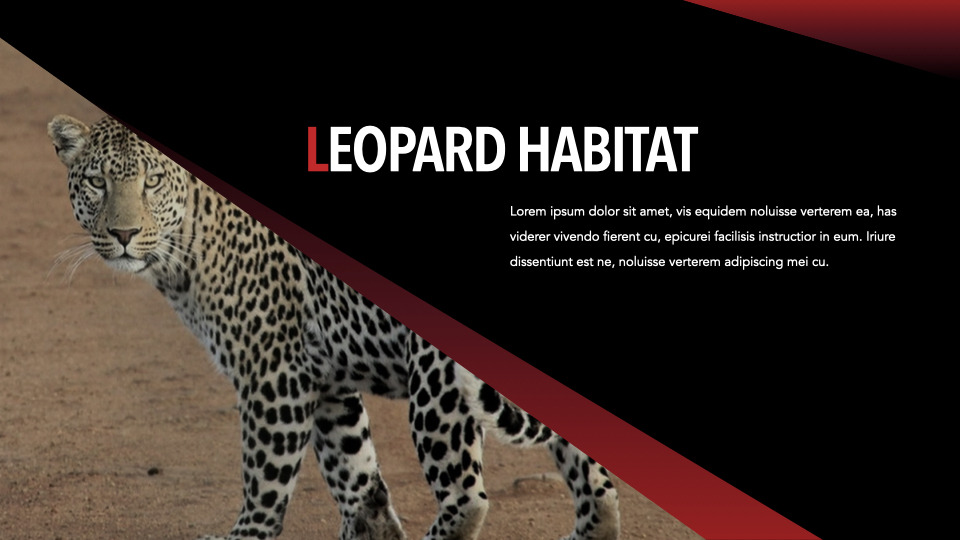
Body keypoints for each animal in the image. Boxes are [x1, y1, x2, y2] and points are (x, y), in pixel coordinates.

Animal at [48, 114, 620, 540]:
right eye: (97, 182)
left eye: (152, 182)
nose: (124, 233)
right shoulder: (324, 379)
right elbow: (357, 479)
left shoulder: (273, 374)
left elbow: (265, 483)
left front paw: (245, 534)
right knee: (600, 491)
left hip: (438, 379)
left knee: (468, 498)